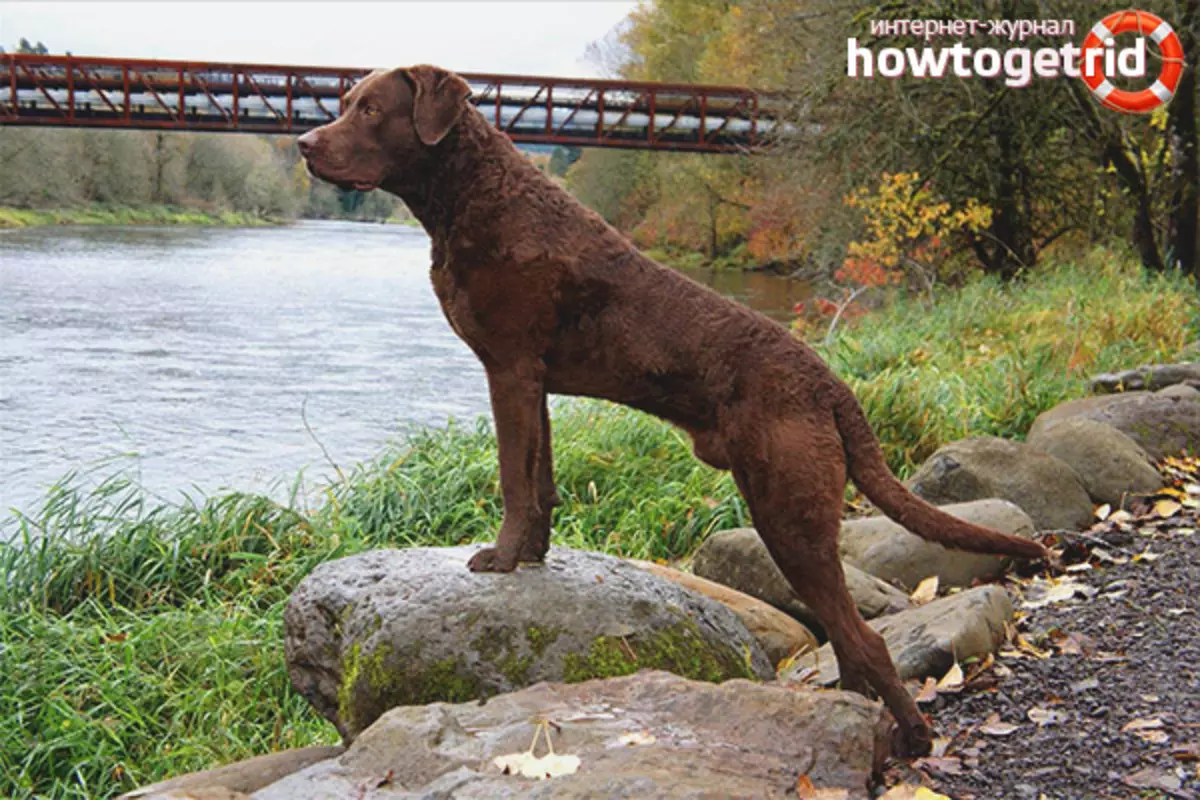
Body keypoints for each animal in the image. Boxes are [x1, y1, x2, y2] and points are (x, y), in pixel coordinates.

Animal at [297, 64, 1041, 758]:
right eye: (342, 104)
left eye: (371, 109)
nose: (303, 143)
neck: (475, 194)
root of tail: (831, 385)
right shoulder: (534, 383)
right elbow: (540, 481)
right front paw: (531, 554)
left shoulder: (508, 369)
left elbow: (512, 477)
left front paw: (501, 559)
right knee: (847, 639)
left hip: (789, 515)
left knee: (866, 639)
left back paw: (912, 740)